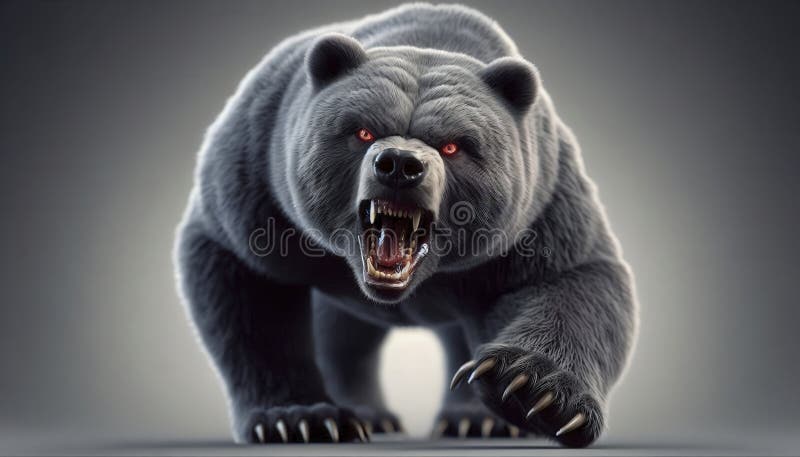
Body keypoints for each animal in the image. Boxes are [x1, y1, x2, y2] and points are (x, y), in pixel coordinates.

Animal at [174, 3, 637, 448]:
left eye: (453, 145)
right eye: (362, 130)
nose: (399, 164)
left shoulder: (537, 209)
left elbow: (575, 281)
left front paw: (528, 391)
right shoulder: (260, 187)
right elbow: (249, 297)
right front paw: (300, 418)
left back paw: (473, 421)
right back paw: (372, 415)